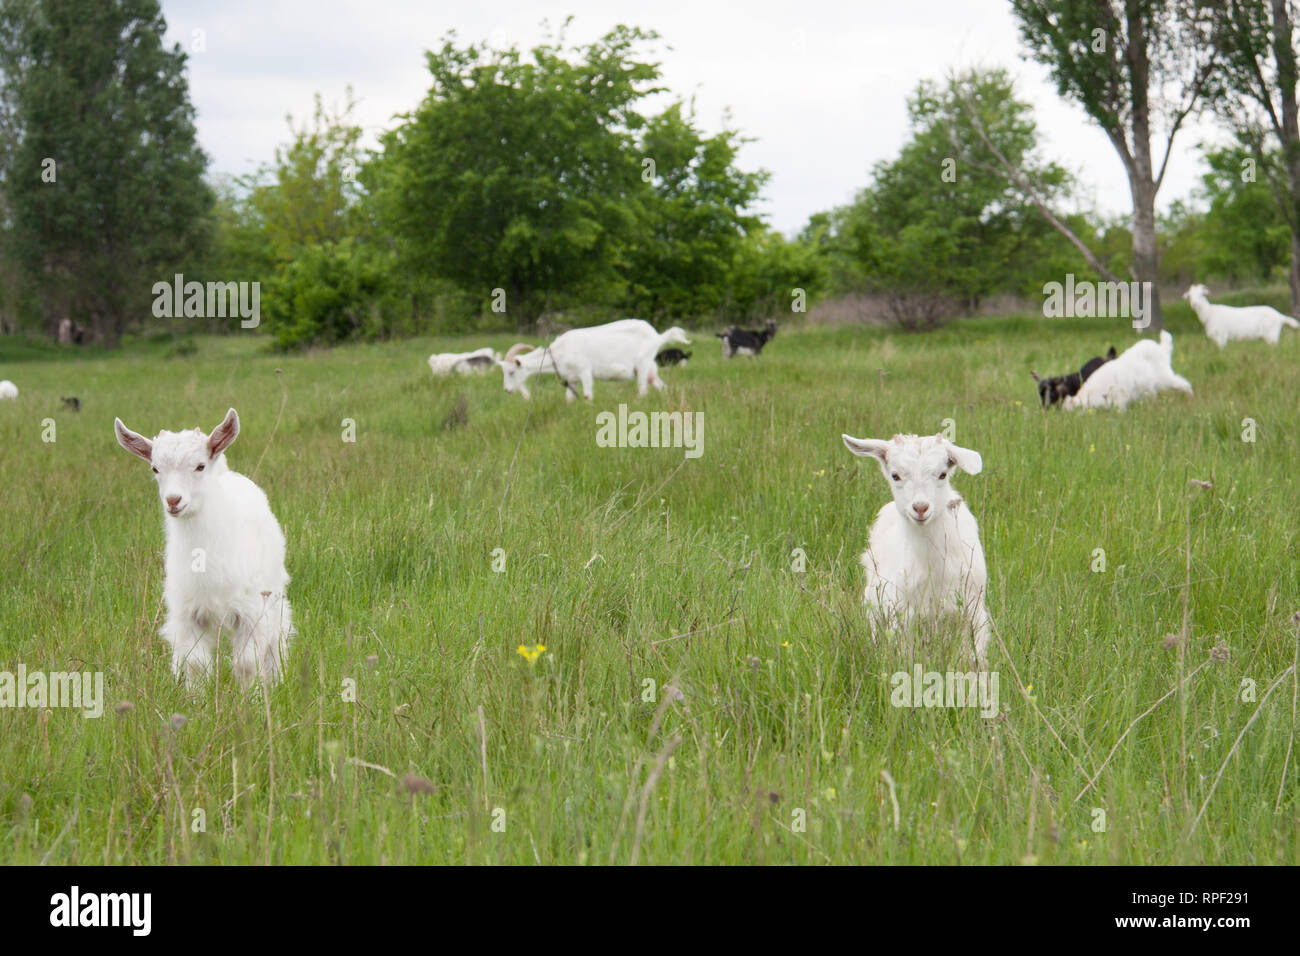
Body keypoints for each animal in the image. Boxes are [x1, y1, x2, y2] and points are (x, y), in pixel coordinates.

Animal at [114, 408, 294, 688]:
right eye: (155, 468)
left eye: (200, 466)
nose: (173, 500)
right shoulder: (188, 614)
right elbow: (195, 665)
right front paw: (195, 697)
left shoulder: (251, 611)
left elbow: (247, 664)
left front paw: (252, 697)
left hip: (273, 594)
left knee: (276, 639)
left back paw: (276, 680)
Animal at [500, 319, 690, 401]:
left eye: (512, 371)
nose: (507, 390)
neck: (560, 351)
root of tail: (658, 336)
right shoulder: (572, 379)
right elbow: (569, 399)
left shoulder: (585, 372)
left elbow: (587, 395)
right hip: (649, 367)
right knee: (660, 385)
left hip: (643, 363)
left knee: (643, 390)